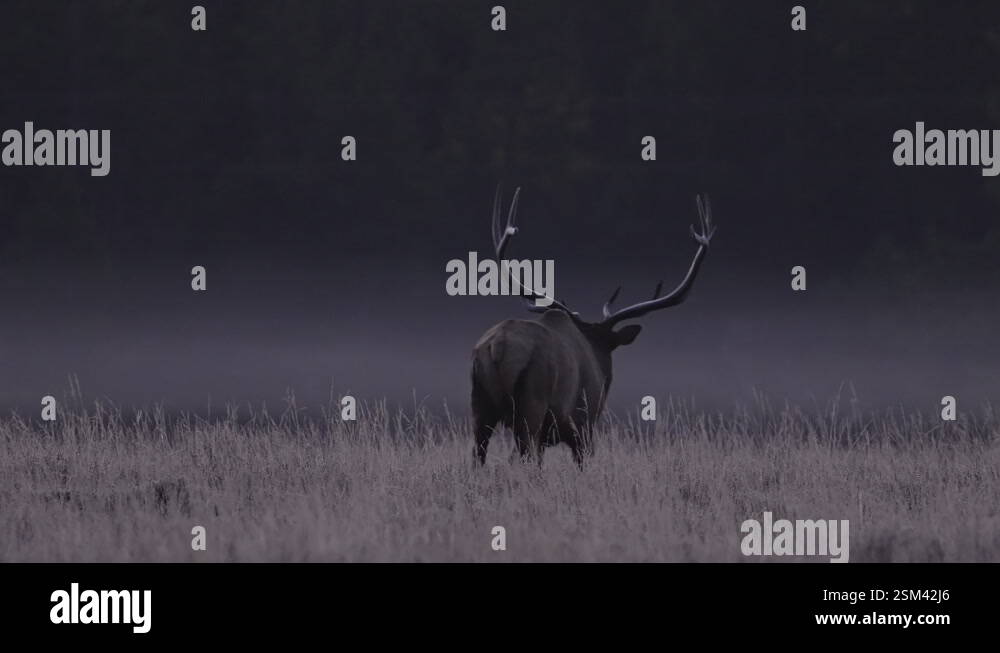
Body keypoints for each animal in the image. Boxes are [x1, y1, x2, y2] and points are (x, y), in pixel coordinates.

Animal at [470, 186, 716, 466]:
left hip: (479, 404)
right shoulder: (583, 423)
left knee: (478, 454)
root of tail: (497, 347)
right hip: (533, 402)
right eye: (608, 347)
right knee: (525, 452)